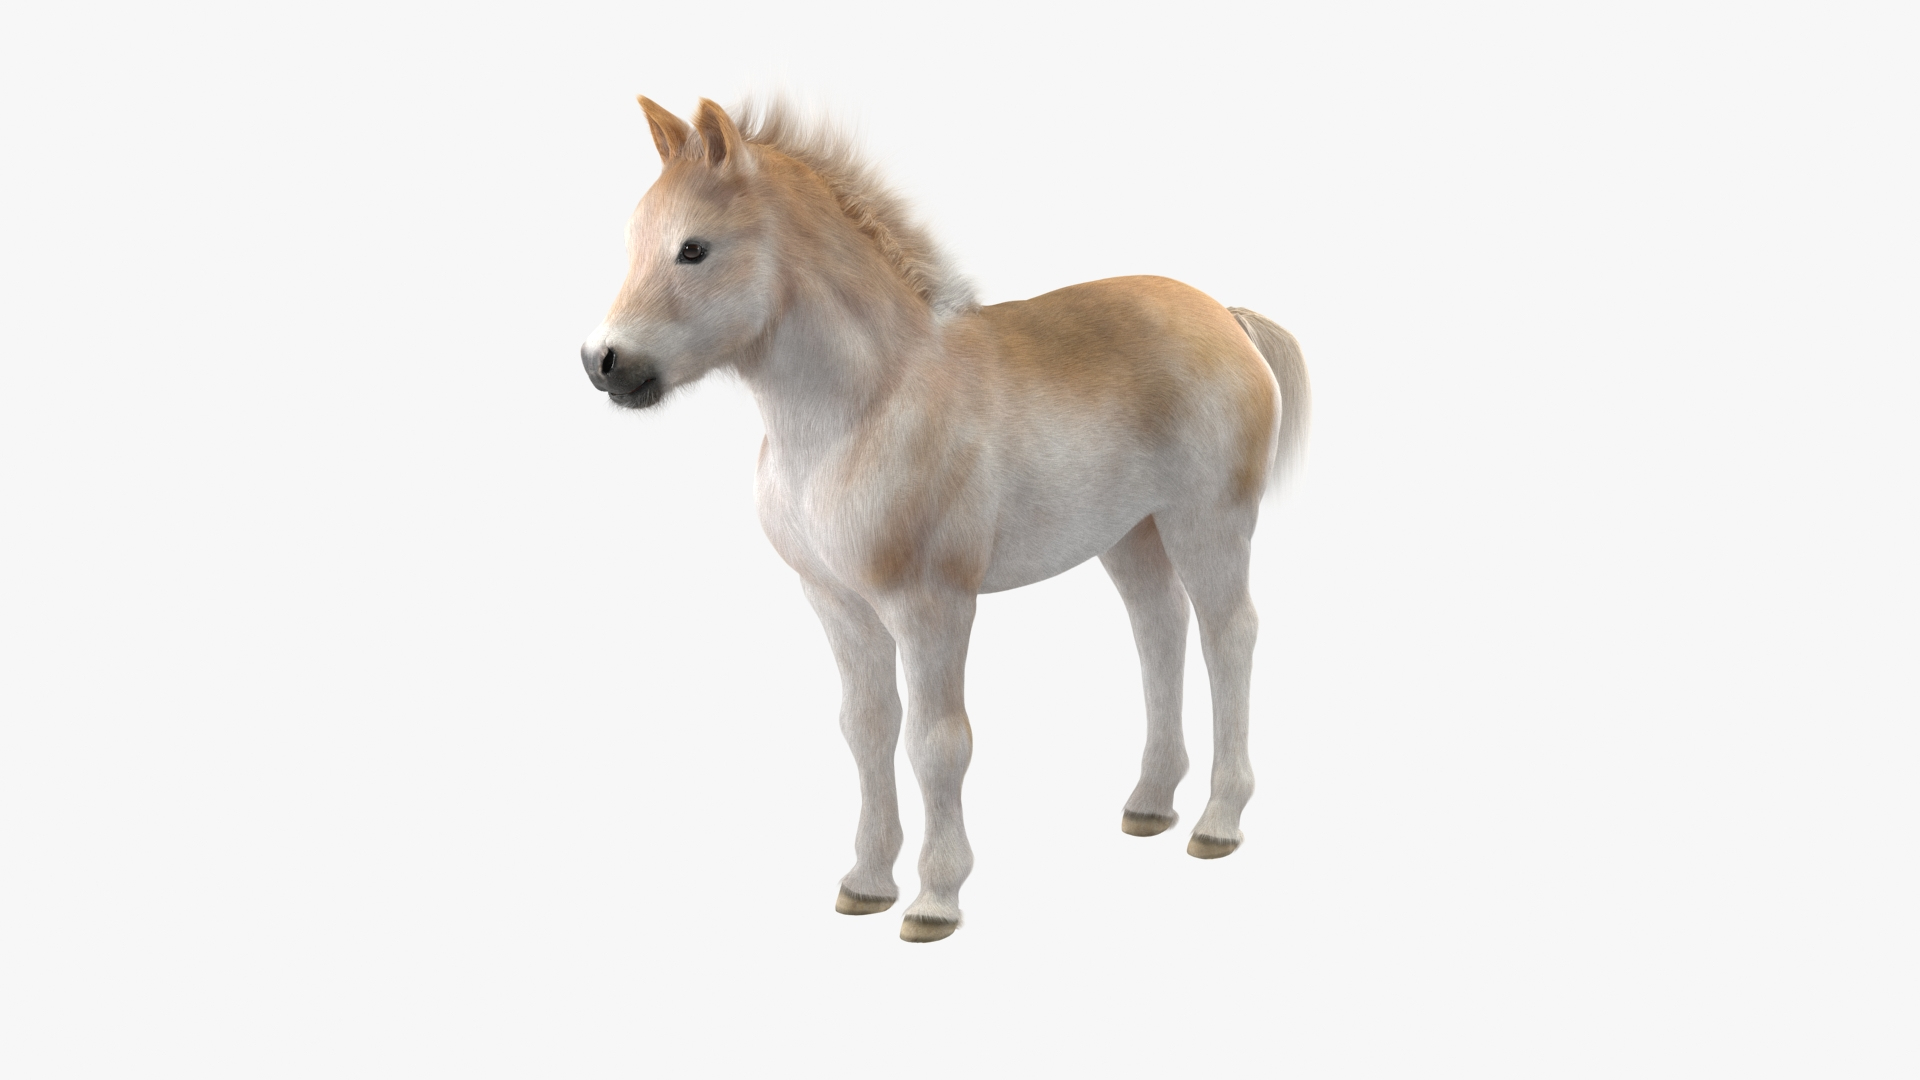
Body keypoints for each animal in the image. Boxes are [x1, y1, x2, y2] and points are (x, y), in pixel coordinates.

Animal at [580, 97, 1310, 942]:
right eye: (633, 242)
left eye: (693, 249)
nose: (603, 363)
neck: (859, 412)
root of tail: (1226, 314)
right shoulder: (836, 603)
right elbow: (865, 728)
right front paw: (865, 883)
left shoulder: (932, 604)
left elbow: (936, 742)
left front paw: (934, 899)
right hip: (1133, 533)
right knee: (1159, 631)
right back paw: (1150, 803)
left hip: (1207, 520)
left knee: (1230, 635)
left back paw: (1218, 822)